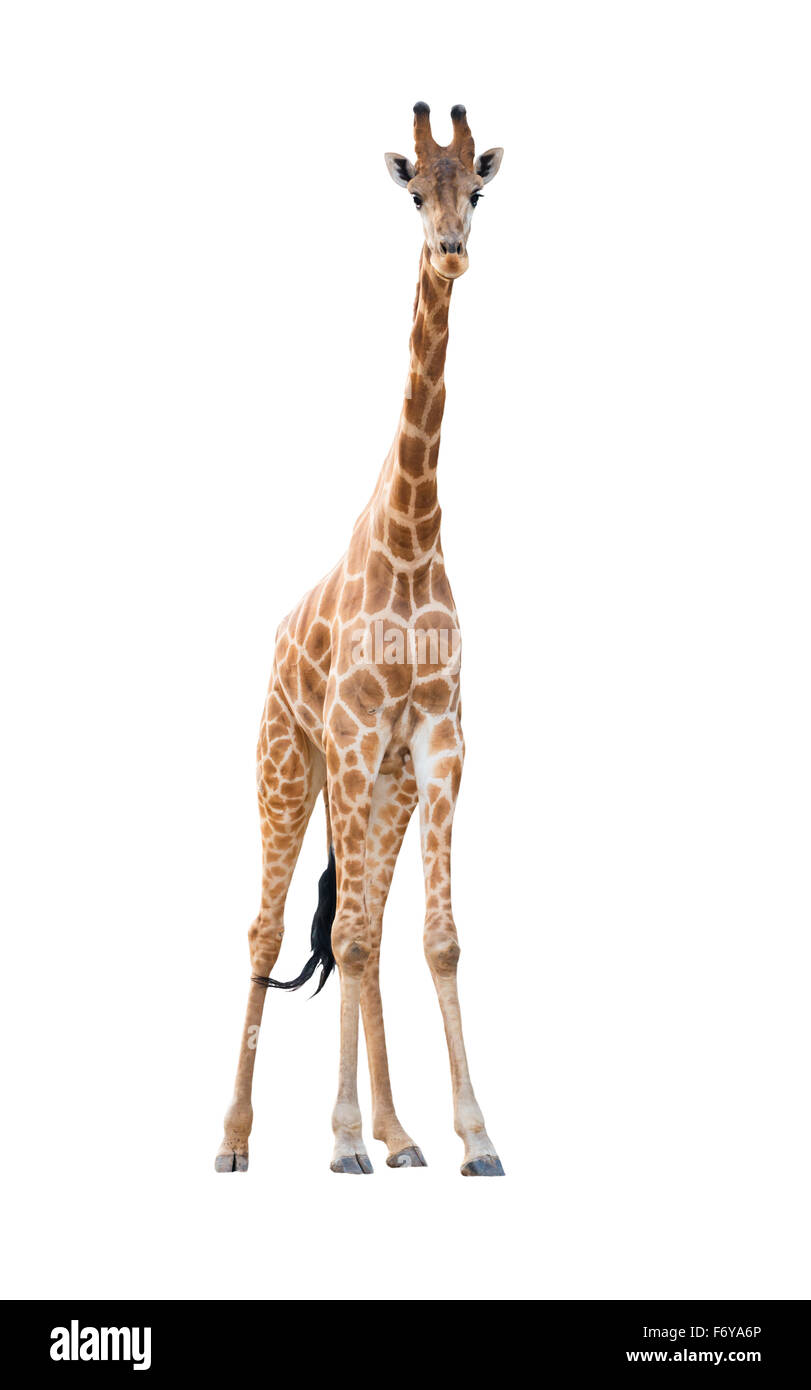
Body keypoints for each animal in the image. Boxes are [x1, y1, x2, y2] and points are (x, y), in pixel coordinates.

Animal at [215, 102, 505, 1177]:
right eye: (414, 191)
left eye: (478, 190)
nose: (452, 250)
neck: (414, 536)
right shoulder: (346, 739)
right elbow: (341, 938)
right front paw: (338, 1141)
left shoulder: (437, 744)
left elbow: (433, 937)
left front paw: (472, 1136)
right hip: (287, 764)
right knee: (268, 931)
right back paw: (238, 1141)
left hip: (377, 788)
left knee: (365, 925)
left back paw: (399, 1133)